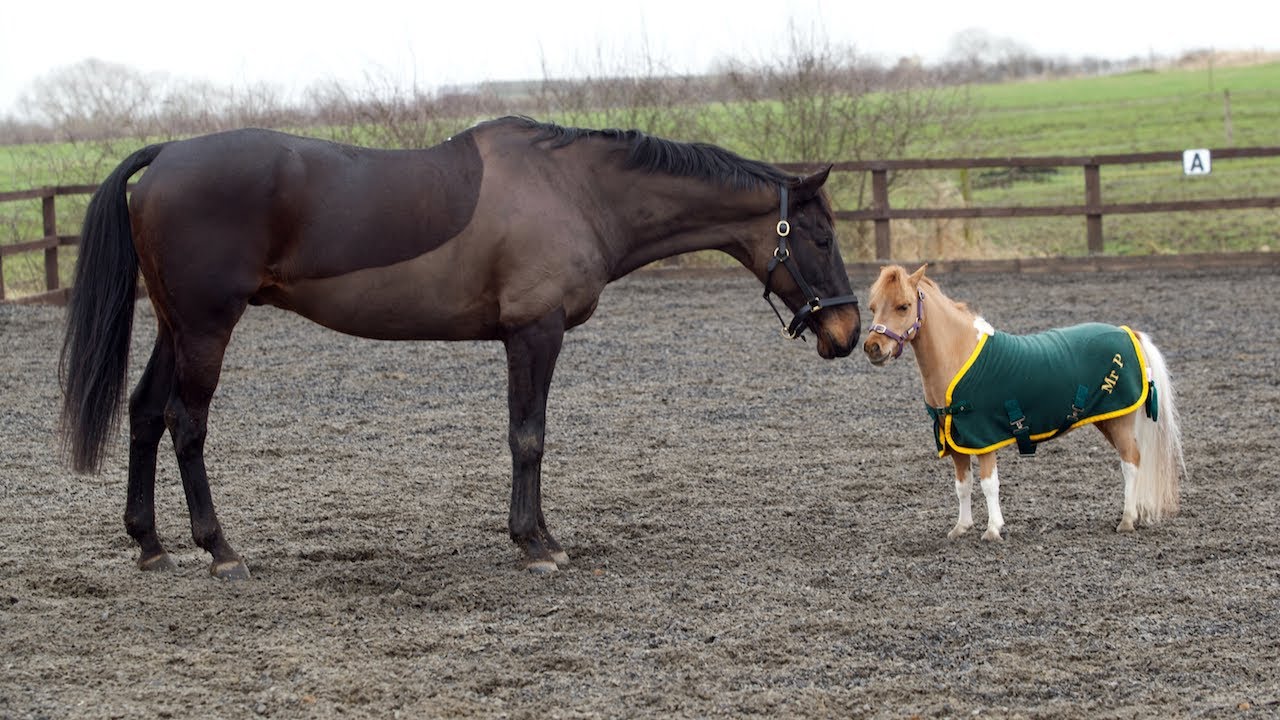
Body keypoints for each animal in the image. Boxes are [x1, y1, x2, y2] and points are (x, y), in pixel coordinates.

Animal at [59, 116, 862, 578]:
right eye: (820, 236)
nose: (848, 331)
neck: (574, 190)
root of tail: (167, 156)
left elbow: (528, 437)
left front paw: (537, 535)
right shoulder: (533, 333)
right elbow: (529, 436)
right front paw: (536, 544)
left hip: (175, 327)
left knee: (144, 413)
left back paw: (151, 546)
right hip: (206, 326)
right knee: (185, 424)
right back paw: (218, 550)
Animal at [862, 264, 1184, 541]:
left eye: (903, 306)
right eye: (873, 307)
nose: (872, 348)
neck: (958, 355)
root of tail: (1127, 332)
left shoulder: (983, 438)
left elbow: (988, 484)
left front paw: (993, 529)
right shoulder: (956, 442)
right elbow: (962, 485)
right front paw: (961, 527)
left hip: (1118, 421)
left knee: (1131, 463)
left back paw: (1127, 519)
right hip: (1107, 419)